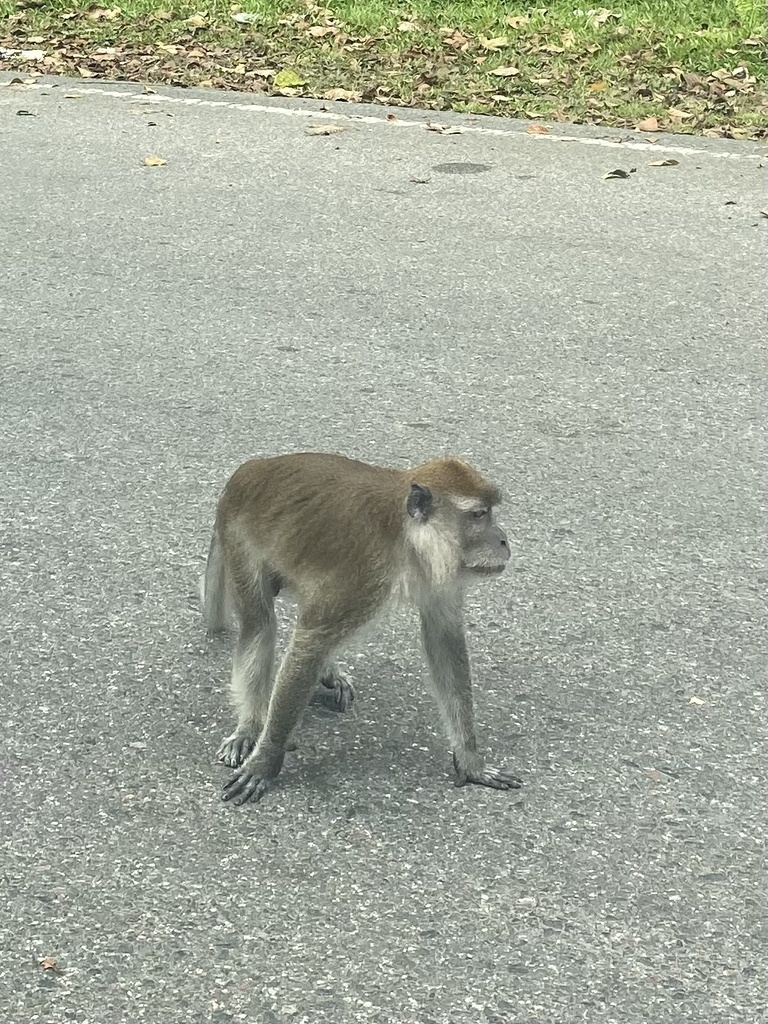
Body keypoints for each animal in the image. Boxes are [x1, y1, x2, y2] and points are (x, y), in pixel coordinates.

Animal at [200, 452, 521, 805]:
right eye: (478, 515)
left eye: (488, 512)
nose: (503, 539)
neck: (401, 535)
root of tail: (250, 469)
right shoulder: (363, 574)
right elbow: (311, 639)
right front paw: (267, 759)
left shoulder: (438, 571)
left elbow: (444, 639)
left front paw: (470, 759)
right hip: (239, 535)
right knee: (259, 624)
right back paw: (251, 727)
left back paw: (327, 673)